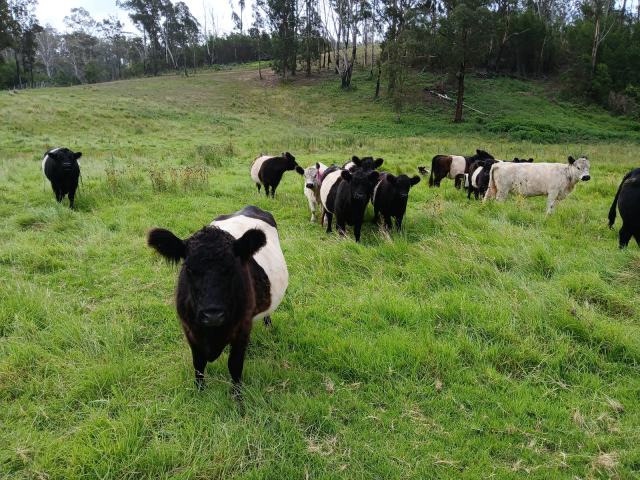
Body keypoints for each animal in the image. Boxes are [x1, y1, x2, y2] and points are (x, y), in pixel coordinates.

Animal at [147, 205, 289, 394]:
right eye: (189, 268)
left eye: (232, 267)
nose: (212, 315)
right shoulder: (189, 328)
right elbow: (198, 363)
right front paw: (200, 391)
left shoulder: (242, 327)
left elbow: (235, 365)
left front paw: (237, 395)